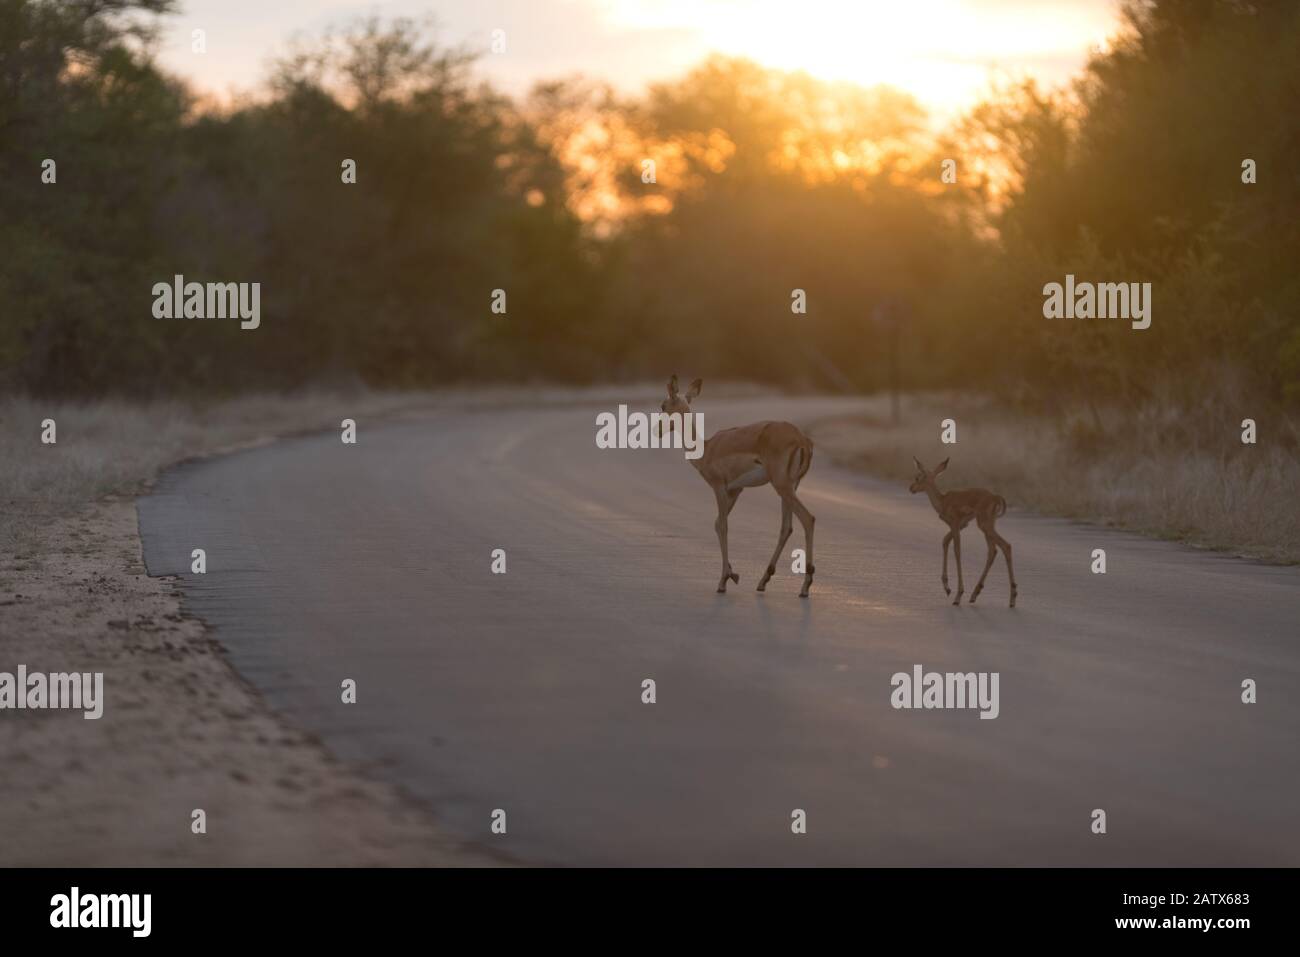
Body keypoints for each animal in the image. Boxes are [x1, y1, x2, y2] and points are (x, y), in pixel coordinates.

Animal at [660, 376, 817, 597]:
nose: (656, 430)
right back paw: (763, 581)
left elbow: (723, 526)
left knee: (808, 519)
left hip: (782, 486)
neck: (707, 449)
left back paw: (804, 586)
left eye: (663, 405)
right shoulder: (735, 490)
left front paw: (723, 581)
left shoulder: (719, 487)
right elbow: (718, 523)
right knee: (787, 527)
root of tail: (802, 439)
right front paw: (732, 574)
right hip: (790, 487)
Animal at [909, 457, 1017, 607]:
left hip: (984, 525)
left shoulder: (955, 525)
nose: (911, 488)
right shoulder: (962, 525)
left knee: (1005, 546)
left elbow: (957, 551)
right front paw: (947, 588)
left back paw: (1012, 599)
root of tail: (996, 497)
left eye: (918, 477)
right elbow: (945, 541)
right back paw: (975, 595)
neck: (943, 501)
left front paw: (958, 595)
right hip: (987, 526)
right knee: (993, 550)